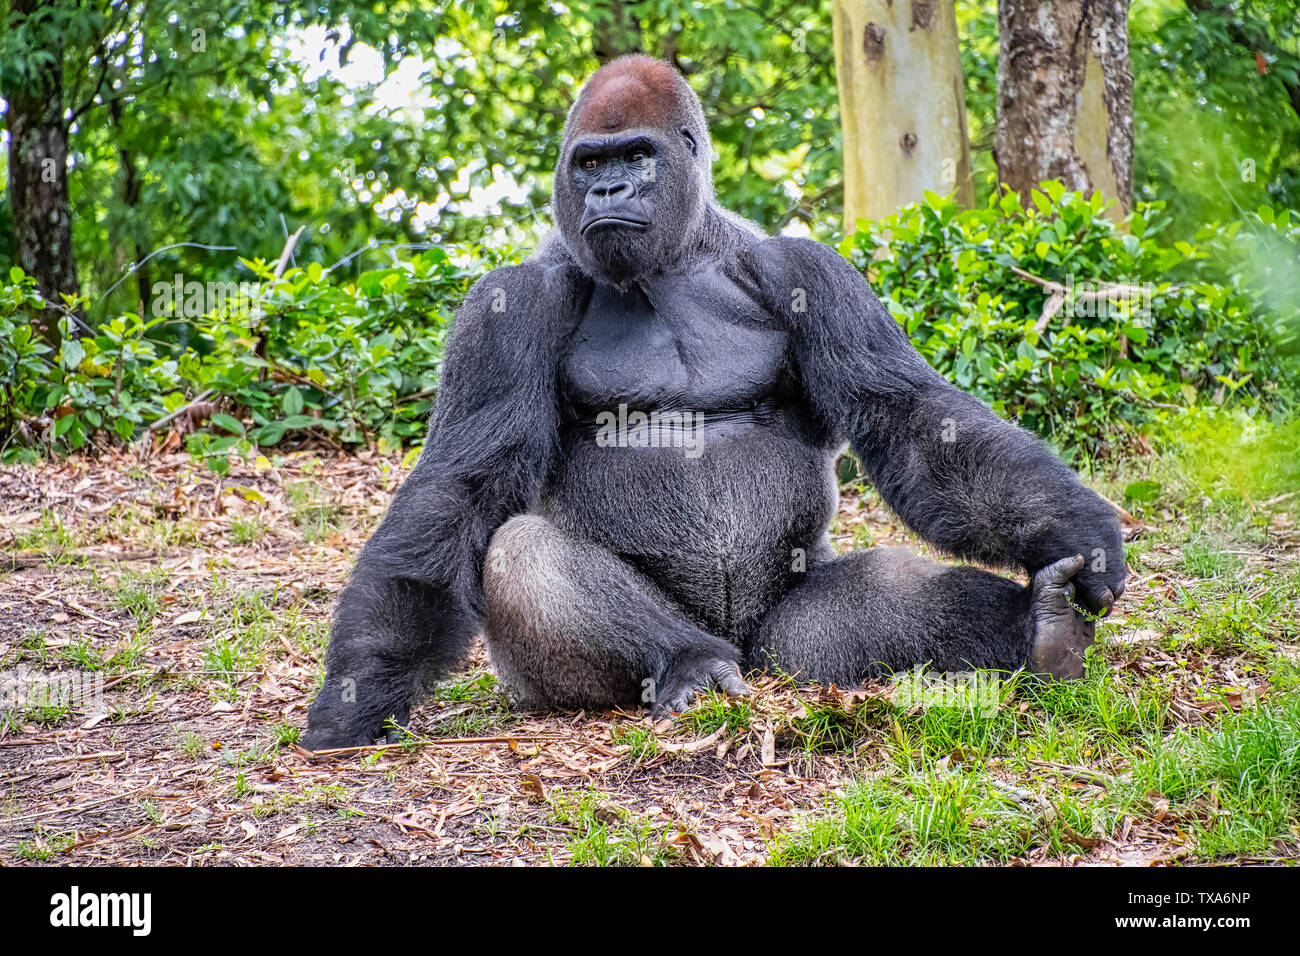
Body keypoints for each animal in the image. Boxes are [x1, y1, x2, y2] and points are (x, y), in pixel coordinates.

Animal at [302, 56, 1125, 749]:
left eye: (636, 157)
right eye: (589, 162)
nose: (606, 192)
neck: (676, 255)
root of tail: (748, 655)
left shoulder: (810, 270)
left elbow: (908, 416)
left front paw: (1076, 531)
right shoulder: (505, 304)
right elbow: (461, 483)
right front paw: (360, 691)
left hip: (788, 647)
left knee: (848, 619)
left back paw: (1036, 630)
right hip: (560, 680)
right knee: (523, 554)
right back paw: (689, 661)